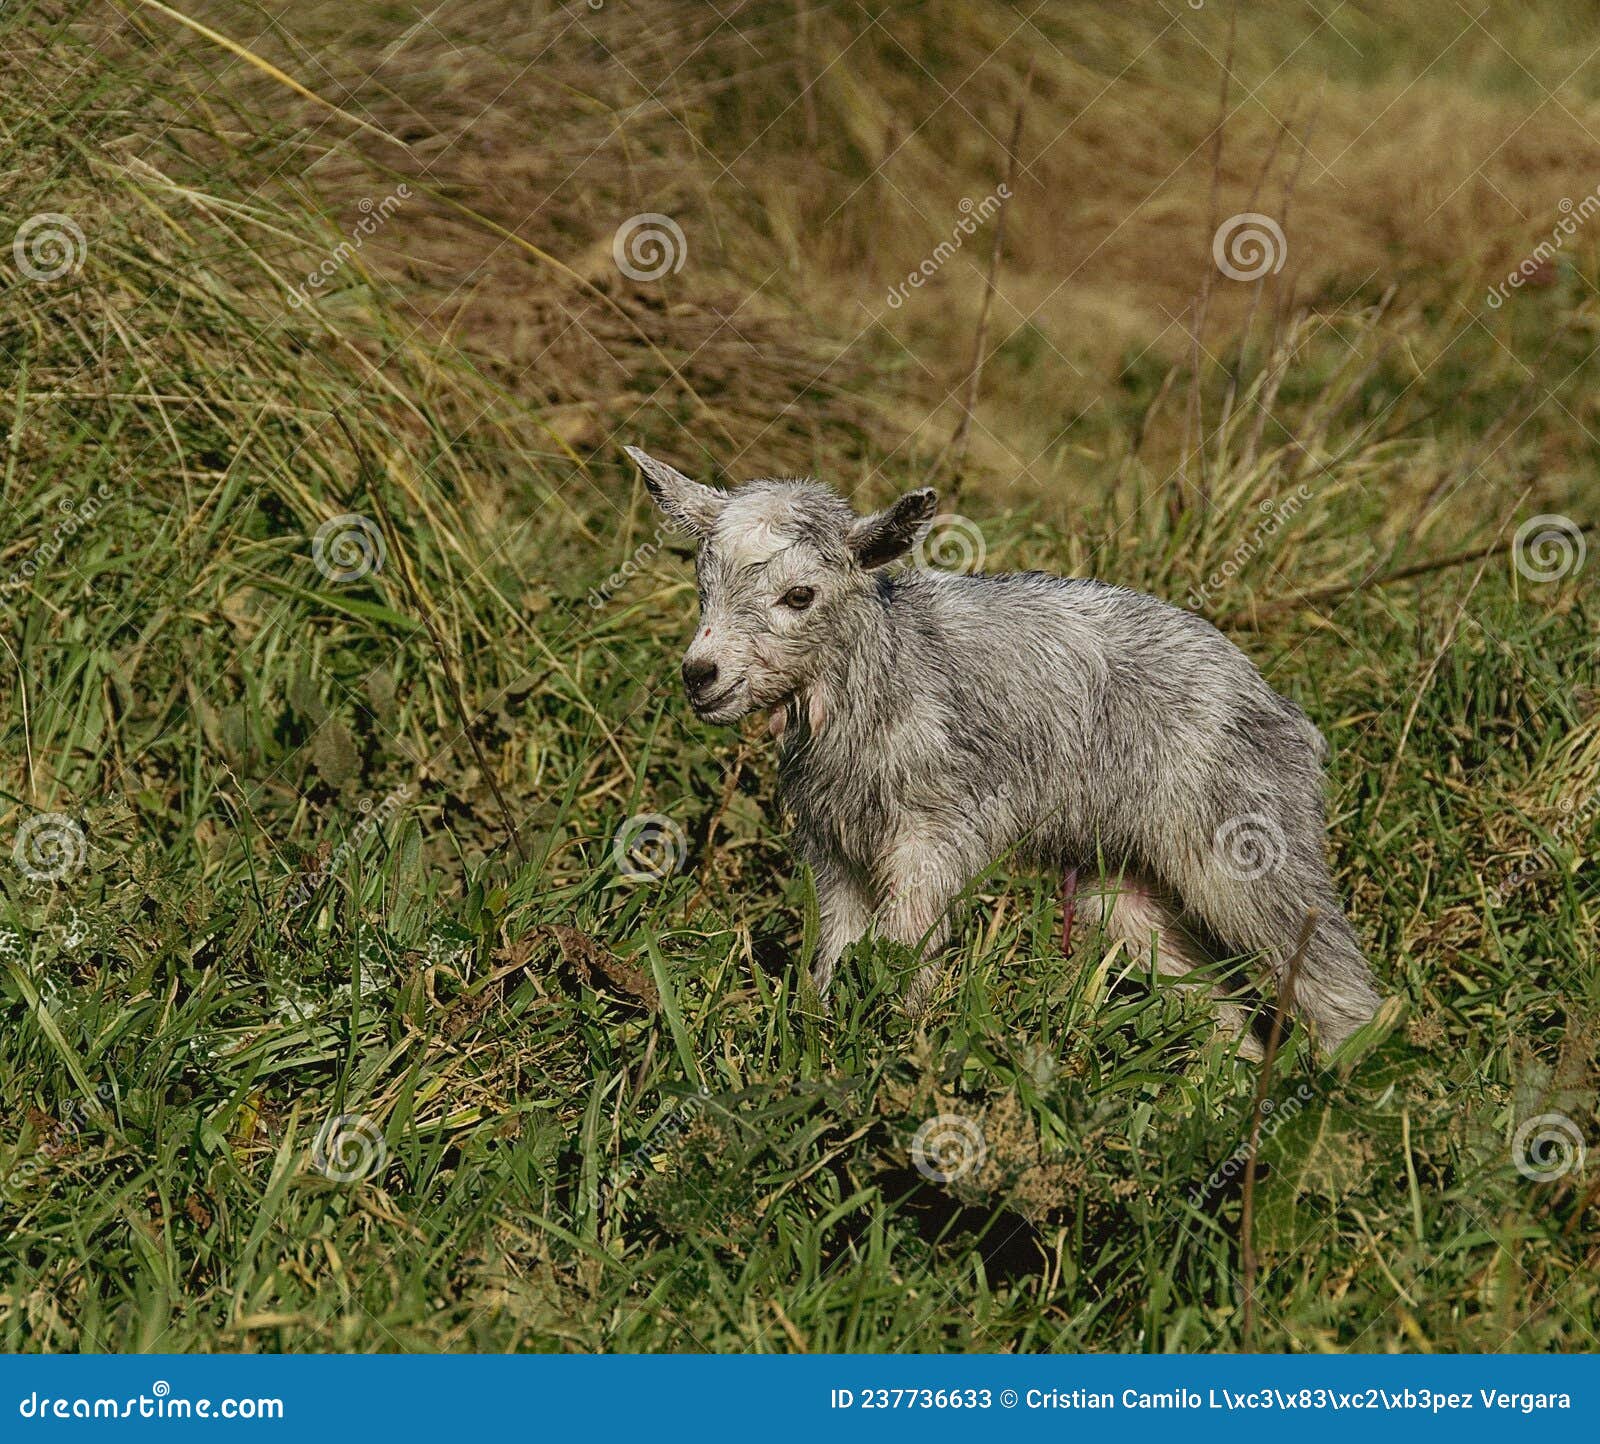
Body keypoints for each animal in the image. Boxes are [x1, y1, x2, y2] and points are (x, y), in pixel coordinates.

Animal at [625, 446, 1383, 1056]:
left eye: (800, 594)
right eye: (703, 587)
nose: (700, 676)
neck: (887, 673)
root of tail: (1288, 714)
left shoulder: (940, 830)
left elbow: (903, 944)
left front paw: (894, 1042)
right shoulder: (835, 847)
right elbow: (839, 950)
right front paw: (830, 1035)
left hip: (1246, 840)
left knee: (1331, 972)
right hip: (1123, 878)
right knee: (1206, 992)